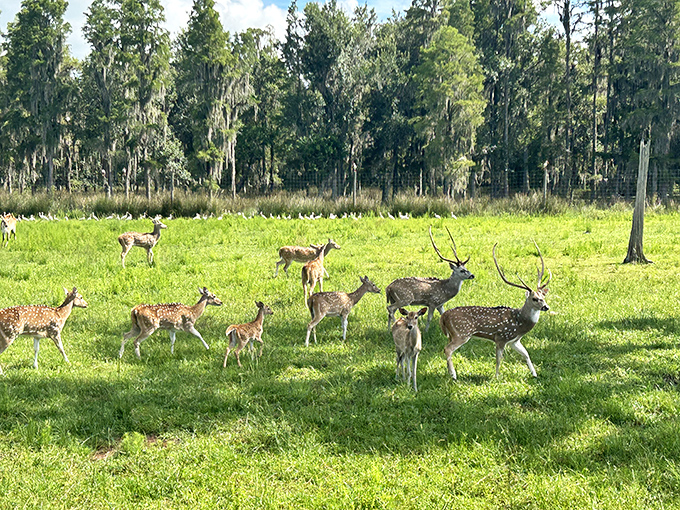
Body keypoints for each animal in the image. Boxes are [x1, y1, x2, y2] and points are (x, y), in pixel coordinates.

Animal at [439, 242, 551, 380]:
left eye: (543, 297)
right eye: (534, 299)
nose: (546, 307)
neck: (519, 322)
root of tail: (444, 316)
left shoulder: (514, 341)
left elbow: (526, 354)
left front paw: (534, 374)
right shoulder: (501, 337)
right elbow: (499, 359)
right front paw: (497, 377)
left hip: (452, 334)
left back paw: (449, 372)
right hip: (462, 332)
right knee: (447, 349)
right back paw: (454, 375)